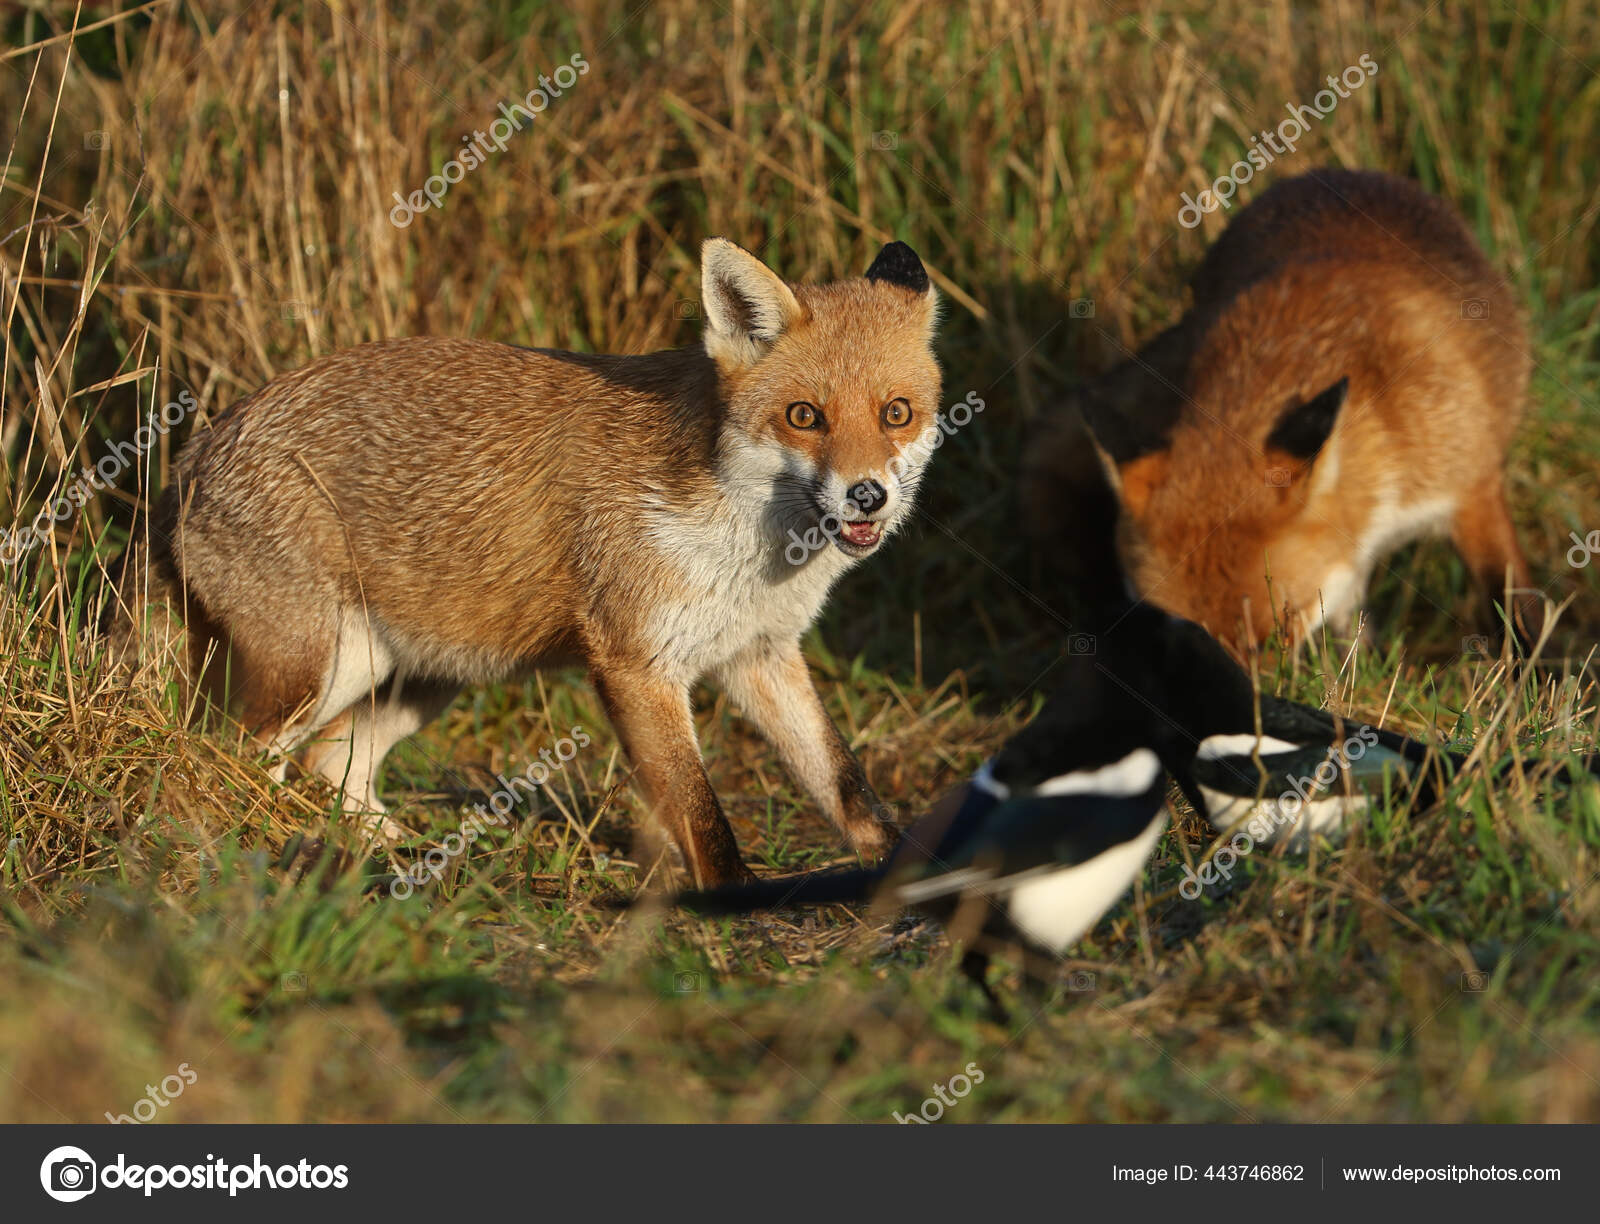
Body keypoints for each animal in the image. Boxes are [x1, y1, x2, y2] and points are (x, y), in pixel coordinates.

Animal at [109, 239, 942, 888]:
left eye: (896, 413)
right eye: (806, 416)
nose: (867, 496)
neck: (745, 540)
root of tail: (195, 453)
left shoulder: (760, 653)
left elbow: (845, 783)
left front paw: (910, 871)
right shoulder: (637, 664)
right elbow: (703, 815)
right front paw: (733, 906)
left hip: (428, 671)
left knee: (329, 759)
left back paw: (388, 852)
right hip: (320, 667)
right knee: (219, 763)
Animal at [1023, 168, 1539, 652]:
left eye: (1275, 637)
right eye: (1179, 637)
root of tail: (1330, 173)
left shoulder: (1470, 485)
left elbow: (1515, 605)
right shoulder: (1345, 563)